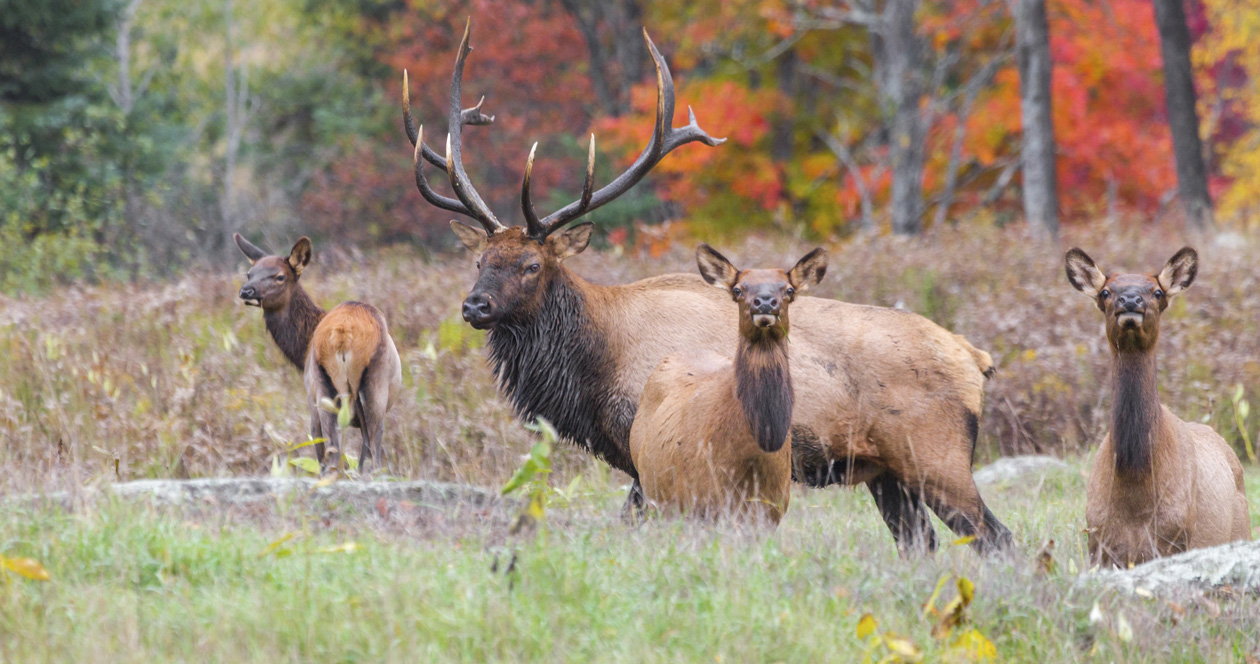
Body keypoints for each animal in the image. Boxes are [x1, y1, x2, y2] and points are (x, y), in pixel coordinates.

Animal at [234, 233, 403, 473]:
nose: (246, 291)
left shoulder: (309, 394)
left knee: (335, 455)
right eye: (250, 273)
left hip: (326, 391)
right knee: (367, 458)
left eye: (279, 276)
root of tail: (343, 335)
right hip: (367, 393)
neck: (302, 349)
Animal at [1065, 247, 1251, 567]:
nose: (1130, 300)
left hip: (1243, 529)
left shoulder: (1175, 541)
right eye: (1105, 292)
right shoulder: (1098, 545)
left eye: (1157, 292)